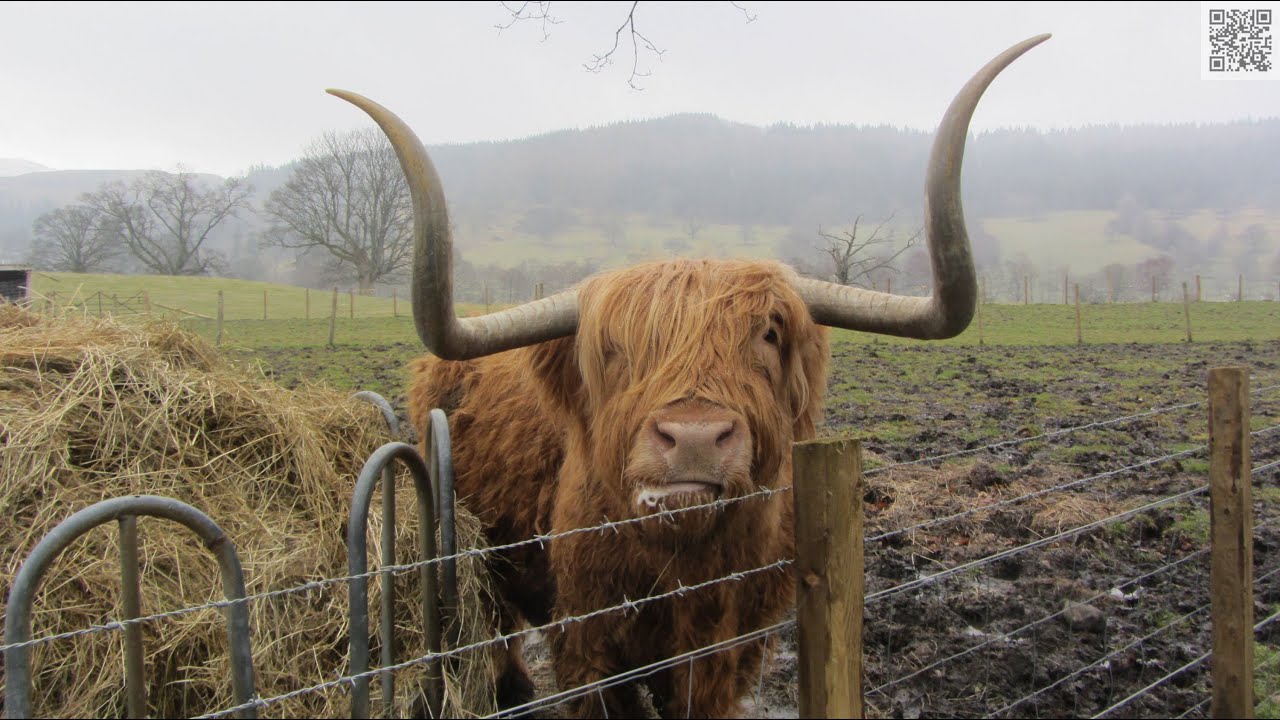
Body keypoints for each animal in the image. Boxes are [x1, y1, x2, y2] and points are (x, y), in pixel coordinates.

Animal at [330, 34, 1050, 719]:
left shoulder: (733, 648)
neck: (686, 576)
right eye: (614, 348)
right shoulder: (588, 643)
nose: (696, 439)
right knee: (501, 641)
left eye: (768, 334)